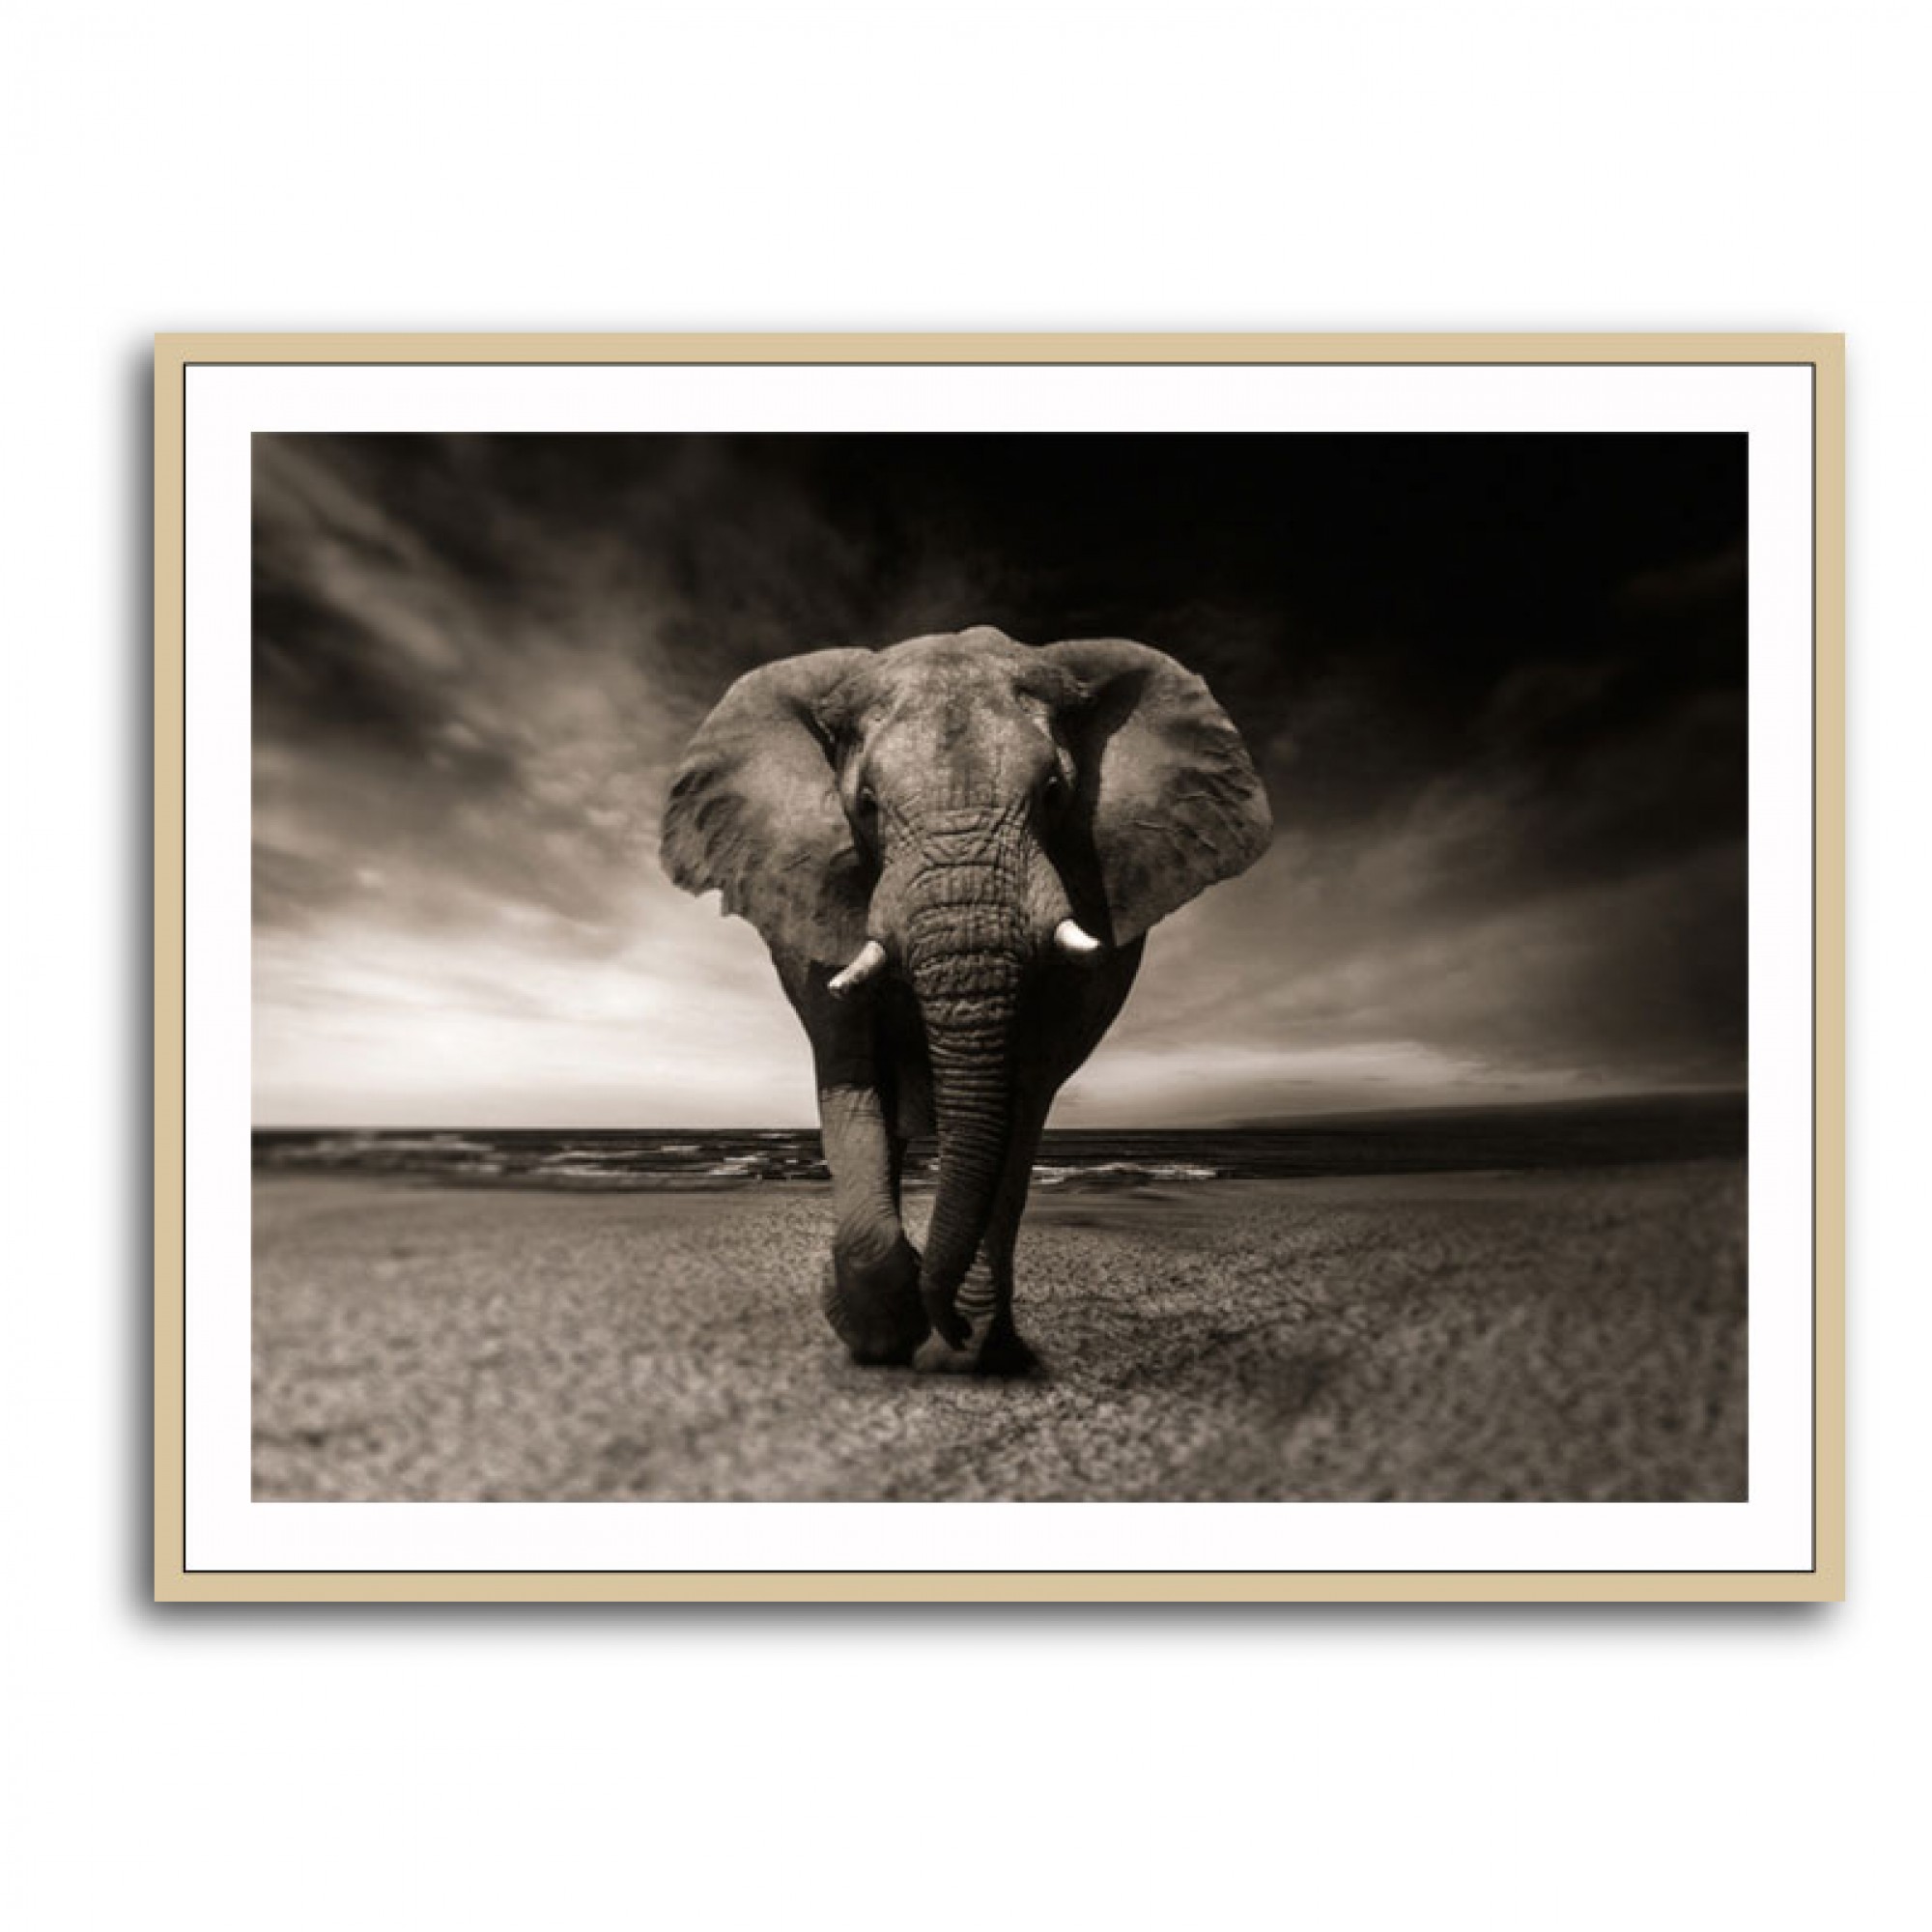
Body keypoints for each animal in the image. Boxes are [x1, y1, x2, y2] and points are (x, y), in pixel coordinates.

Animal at [659, 625, 1271, 1373]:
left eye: (1054, 792)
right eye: (865, 804)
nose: (944, 1322)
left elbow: (1022, 1094)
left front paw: (966, 1340)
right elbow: (851, 1073)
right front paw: (882, 1334)